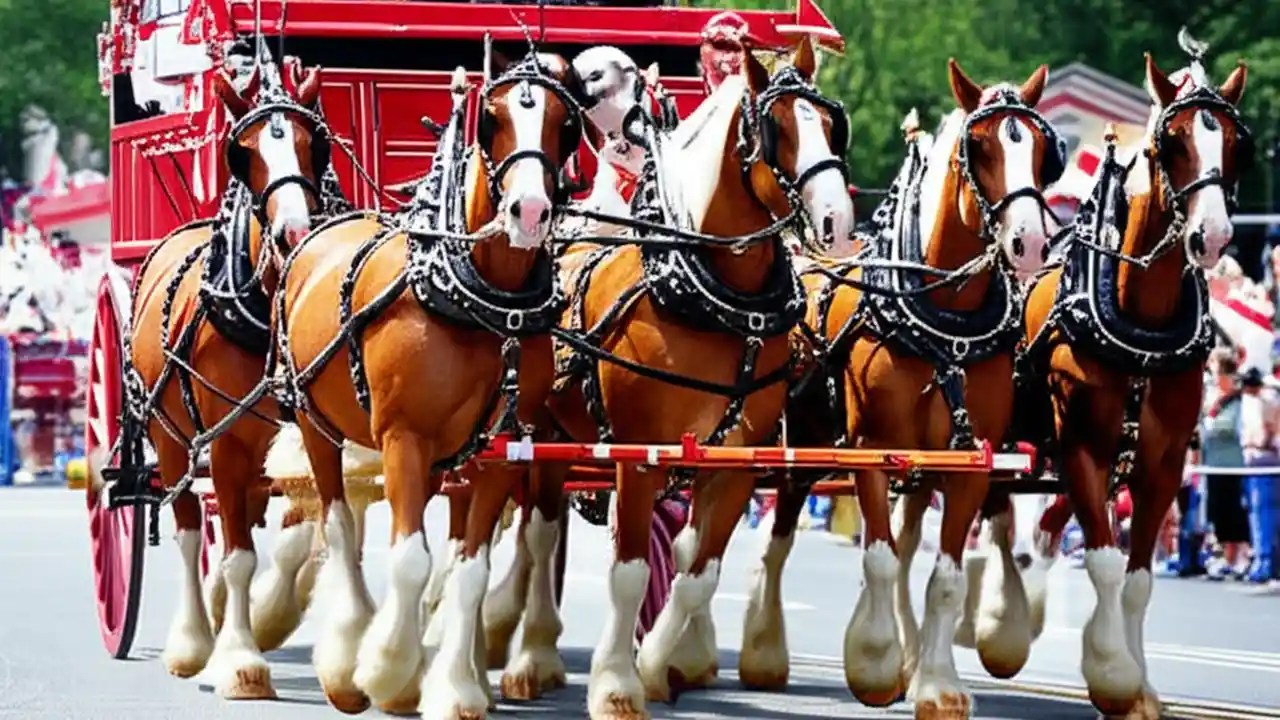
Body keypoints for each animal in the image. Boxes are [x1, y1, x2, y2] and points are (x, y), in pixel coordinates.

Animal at [89, 56, 337, 699]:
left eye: (314, 144)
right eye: (242, 153)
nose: (293, 234)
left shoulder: (312, 433)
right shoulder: (226, 442)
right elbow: (236, 551)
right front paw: (241, 663)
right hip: (171, 436)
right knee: (186, 526)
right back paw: (193, 642)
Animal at [262, 52, 584, 716]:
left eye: (564, 123)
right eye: (493, 117)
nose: (529, 211)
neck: (487, 305)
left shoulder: (499, 454)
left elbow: (469, 568)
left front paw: (454, 686)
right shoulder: (403, 437)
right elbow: (409, 558)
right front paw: (388, 672)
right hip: (315, 420)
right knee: (339, 521)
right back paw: (345, 660)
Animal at [741, 59, 1061, 716]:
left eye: (1044, 152)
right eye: (981, 146)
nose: (1028, 243)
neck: (943, 319)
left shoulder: (968, 464)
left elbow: (944, 576)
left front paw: (935, 684)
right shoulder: (870, 451)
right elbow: (882, 559)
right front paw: (875, 663)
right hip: (796, 448)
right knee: (770, 539)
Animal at [1017, 44, 1249, 717]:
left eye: (1236, 143)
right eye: (1171, 142)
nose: (1213, 236)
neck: (1140, 320)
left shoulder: (1163, 464)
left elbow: (1139, 576)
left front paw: (1139, 686)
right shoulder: (1082, 449)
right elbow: (1103, 562)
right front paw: (1113, 673)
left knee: (1042, 528)